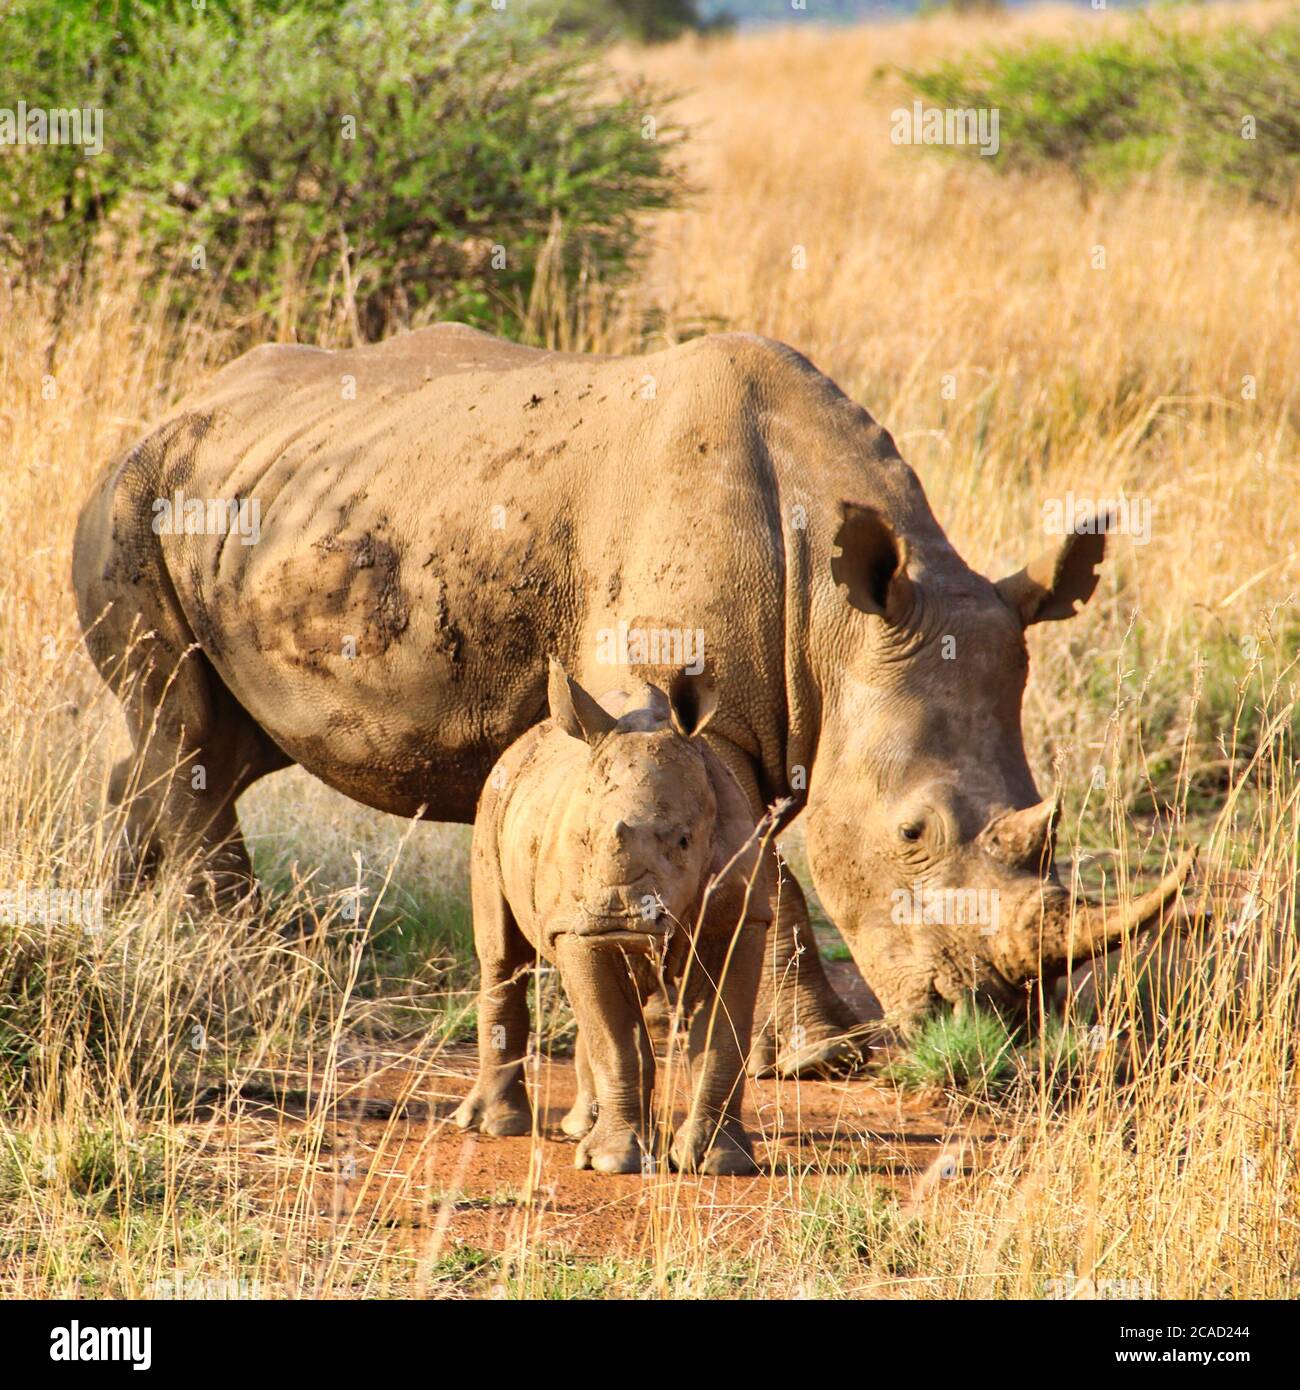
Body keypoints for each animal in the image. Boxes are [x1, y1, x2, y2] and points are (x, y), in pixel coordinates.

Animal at [72, 324, 1193, 1067]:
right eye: (912, 834)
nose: (995, 1022)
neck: (832, 620)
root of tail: (163, 413)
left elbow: (753, 857)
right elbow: (762, 863)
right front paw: (820, 1055)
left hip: (260, 501)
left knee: (211, 740)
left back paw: (121, 919)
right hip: (134, 501)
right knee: (185, 729)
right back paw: (244, 964)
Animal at [455, 658, 769, 1174]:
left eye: (684, 841)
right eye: (583, 839)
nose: (617, 914)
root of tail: (525, 740)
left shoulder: (739, 915)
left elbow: (722, 1035)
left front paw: (718, 1162)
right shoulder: (575, 926)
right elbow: (618, 1040)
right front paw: (614, 1163)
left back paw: (579, 1127)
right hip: (495, 799)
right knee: (502, 956)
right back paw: (495, 1126)